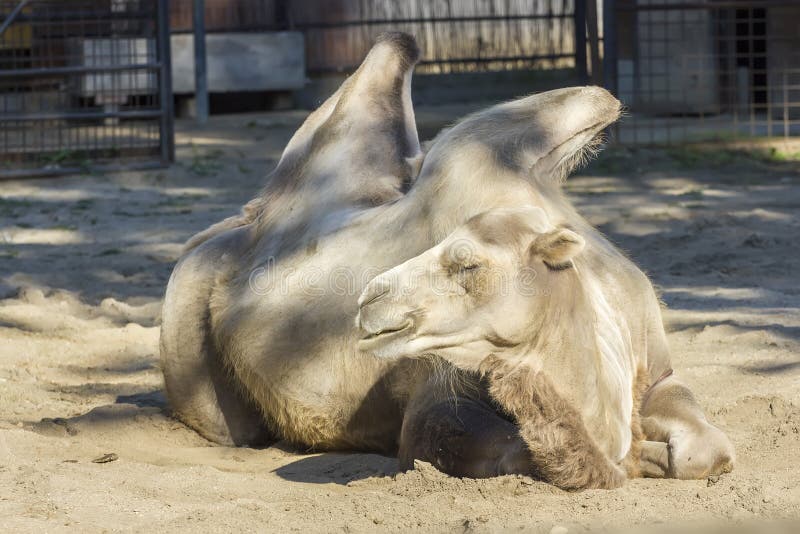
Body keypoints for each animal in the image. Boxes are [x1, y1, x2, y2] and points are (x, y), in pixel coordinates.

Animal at [160, 33, 734, 489]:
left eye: (469, 266)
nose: (371, 303)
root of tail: (246, 217)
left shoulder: (656, 369)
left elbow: (707, 449)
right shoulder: (442, 388)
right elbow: (487, 447)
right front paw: (636, 457)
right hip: (188, 325)